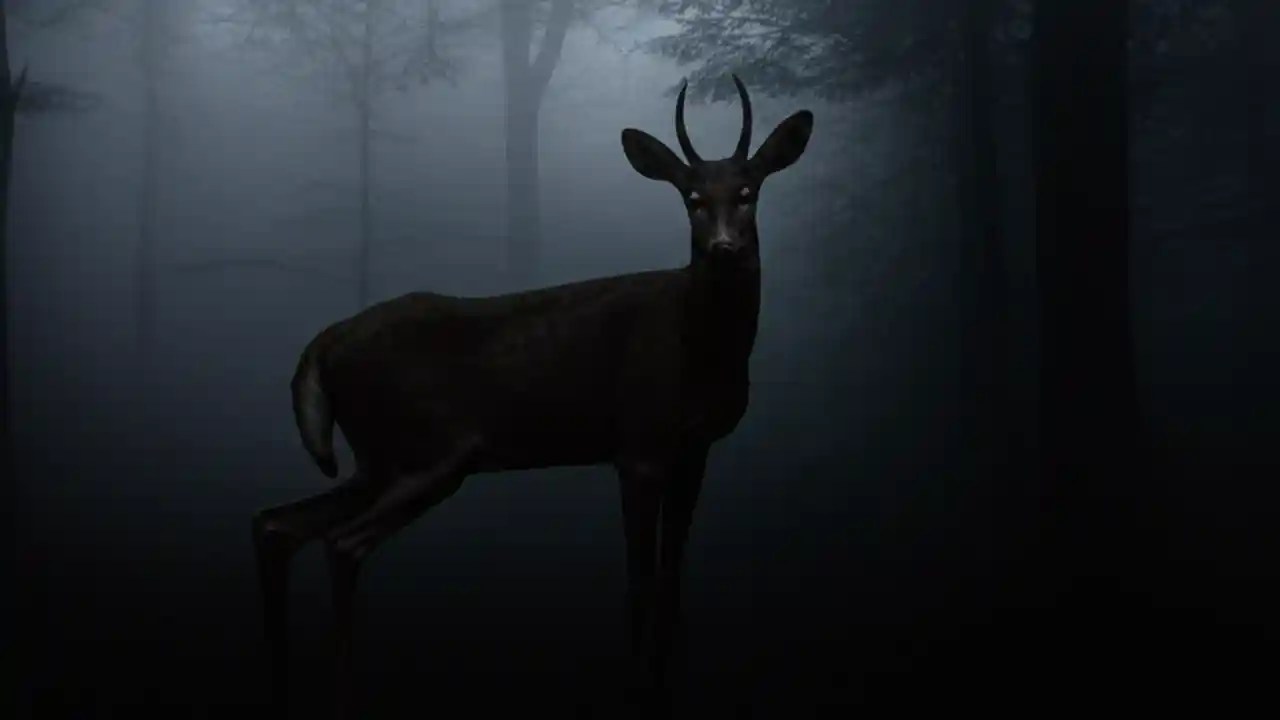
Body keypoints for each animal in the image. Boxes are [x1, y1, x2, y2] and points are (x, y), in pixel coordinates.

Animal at [251, 75, 813, 714]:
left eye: (748, 192)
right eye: (691, 197)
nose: (723, 247)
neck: (700, 346)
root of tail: (322, 344)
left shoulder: (694, 449)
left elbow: (671, 579)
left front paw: (660, 687)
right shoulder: (638, 445)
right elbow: (638, 582)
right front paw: (633, 692)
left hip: (381, 458)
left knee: (277, 525)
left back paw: (280, 690)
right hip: (430, 452)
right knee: (341, 543)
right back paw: (346, 691)